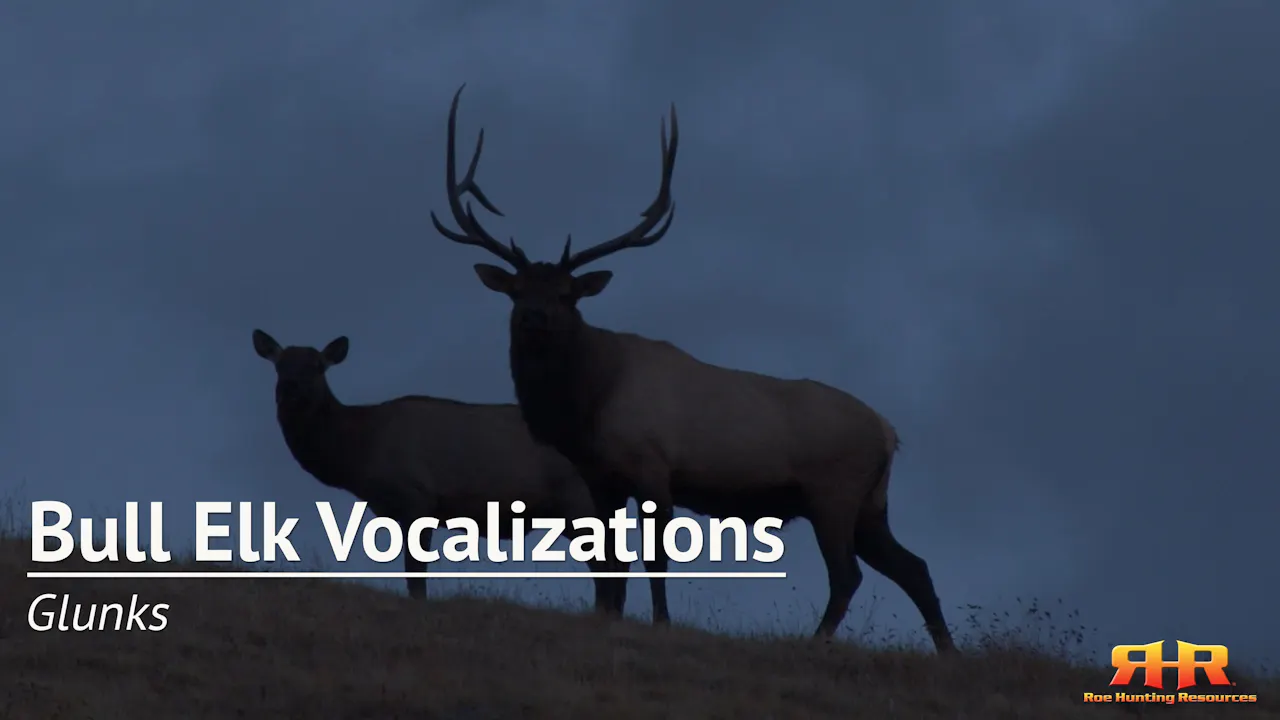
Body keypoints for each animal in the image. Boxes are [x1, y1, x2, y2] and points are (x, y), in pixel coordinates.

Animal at [250, 328, 623, 610]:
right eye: (279, 365)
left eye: (317, 366)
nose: (289, 389)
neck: (360, 453)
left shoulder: (417, 494)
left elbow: (415, 572)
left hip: (577, 499)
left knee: (609, 563)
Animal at [423, 84, 957, 653]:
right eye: (517, 291)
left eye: (568, 294)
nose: (533, 318)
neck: (589, 404)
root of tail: (888, 432)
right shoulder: (601, 478)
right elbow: (610, 562)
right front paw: (607, 617)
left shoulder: (654, 467)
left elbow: (654, 560)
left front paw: (660, 624)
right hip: (871, 503)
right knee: (913, 567)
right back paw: (946, 650)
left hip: (834, 490)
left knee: (848, 575)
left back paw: (817, 642)